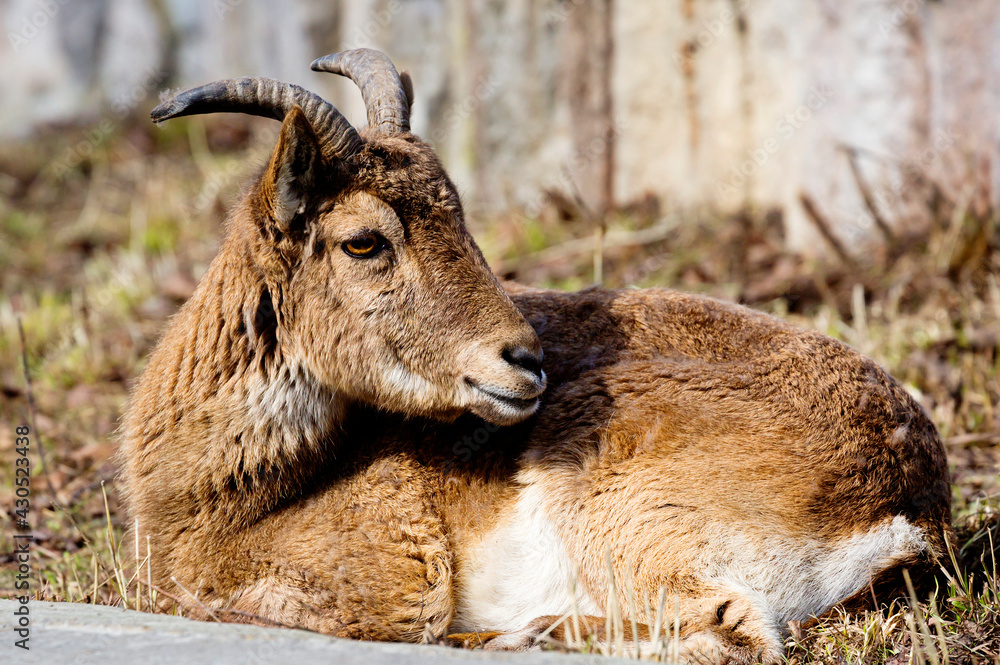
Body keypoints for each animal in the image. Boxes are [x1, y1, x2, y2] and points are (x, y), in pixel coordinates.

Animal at [118, 49, 951, 663]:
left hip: (615, 505)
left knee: (730, 632)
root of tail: (910, 509)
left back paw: (519, 632)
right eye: (363, 240)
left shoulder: (378, 570)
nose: (525, 360)